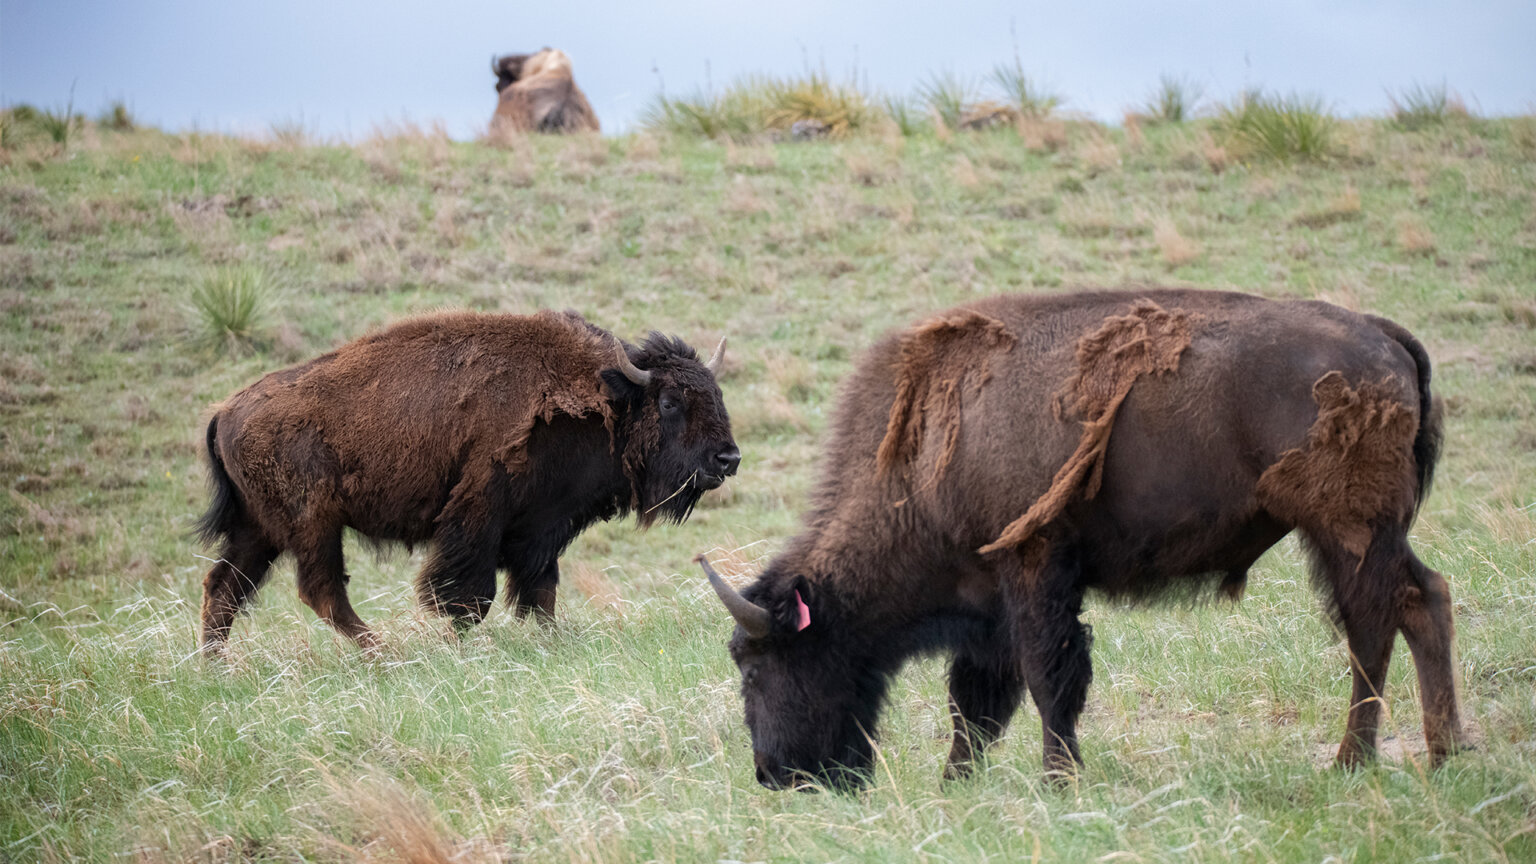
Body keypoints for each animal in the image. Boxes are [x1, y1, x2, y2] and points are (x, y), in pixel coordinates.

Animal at [197, 309, 736, 653]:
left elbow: (541, 593)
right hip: (312, 524)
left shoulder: (543, 527)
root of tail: (224, 412)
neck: (606, 399)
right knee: (321, 590)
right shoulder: (479, 518)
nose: (728, 457)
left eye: (716, 394)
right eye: (670, 402)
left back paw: (215, 666)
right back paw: (382, 652)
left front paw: (554, 639)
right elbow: (469, 596)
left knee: (224, 588)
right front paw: (455, 640)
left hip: (259, 530)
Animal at [701, 288, 1466, 789]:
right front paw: (958, 784)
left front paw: (1058, 781)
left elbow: (1049, 679)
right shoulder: (991, 603)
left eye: (757, 665)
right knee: (1424, 601)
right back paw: (1444, 755)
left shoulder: (1035, 566)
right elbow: (977, 701)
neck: (921, 454)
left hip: (1345, 530)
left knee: (1374, 624)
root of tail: (1385, 337)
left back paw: (1353, 763)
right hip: (1363, 534)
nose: (772, 774)